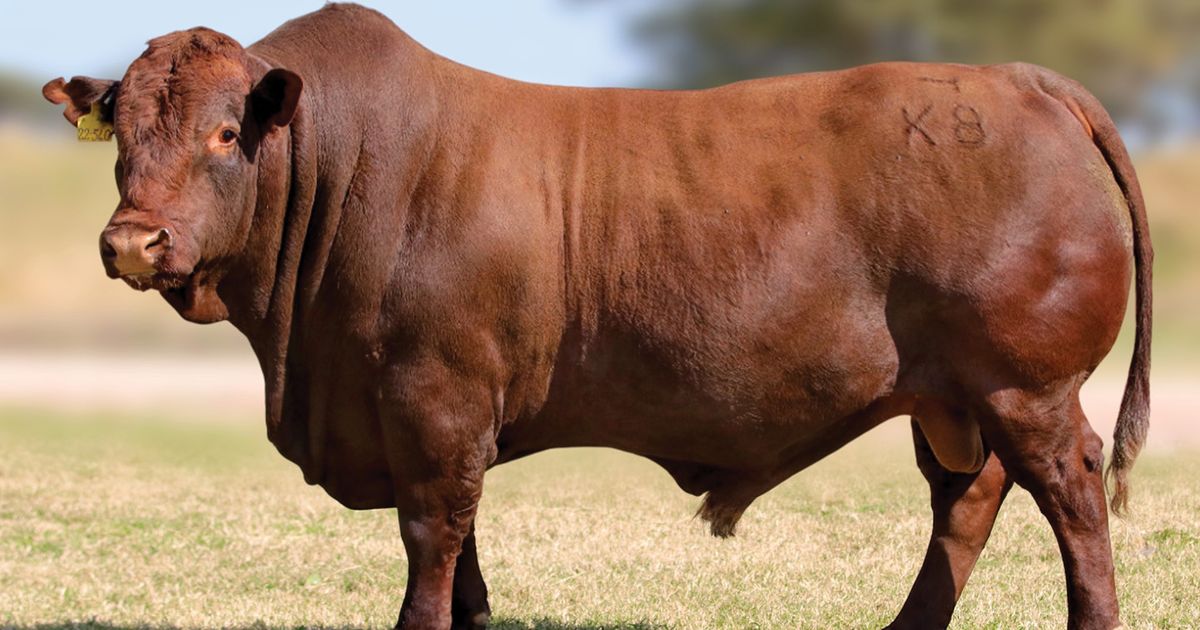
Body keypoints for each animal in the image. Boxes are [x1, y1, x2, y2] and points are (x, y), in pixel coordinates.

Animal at [43, 4, 1151, 629]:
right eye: (122, 131)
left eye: (228, 135)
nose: (134, 242)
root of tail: (1016, 79)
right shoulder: (424, 414)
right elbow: (464, 554)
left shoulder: (436, 400)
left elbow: (433, 538)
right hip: (948, 396)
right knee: (966, 498)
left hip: (1026, 382)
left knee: (1070, 495)